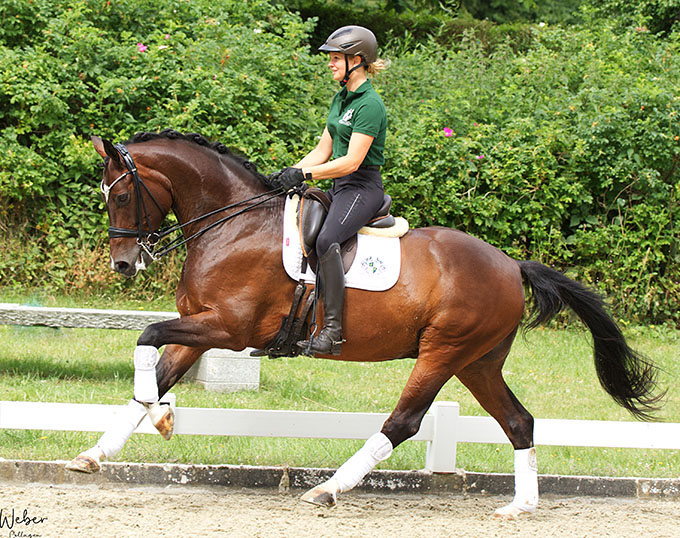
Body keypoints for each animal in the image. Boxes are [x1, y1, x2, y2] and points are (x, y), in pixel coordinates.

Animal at [66, 129, 662, 519]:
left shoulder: (228, 329)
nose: (124, 265)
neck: (231, 224)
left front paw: (162, 419)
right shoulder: (200, 326)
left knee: (405, 421)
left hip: (443, 352)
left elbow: (146, 337)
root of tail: (511, 264)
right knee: (518, 421)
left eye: (122, 193)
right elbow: (152, 374)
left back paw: (329, 489)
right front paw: (100, 451)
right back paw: (520, 506)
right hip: (478, 361)